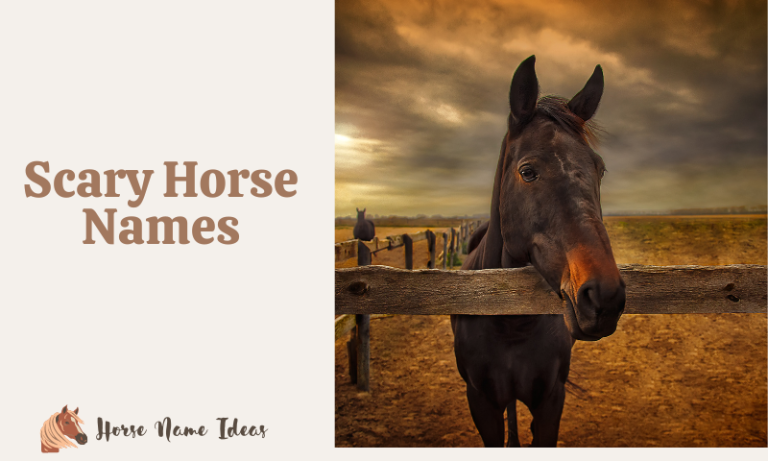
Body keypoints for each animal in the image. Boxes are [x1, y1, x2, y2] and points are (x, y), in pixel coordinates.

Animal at [452, 55, 626, 447]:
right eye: (528, 171)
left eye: (600, 169)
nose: (604, 296)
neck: (511, 323)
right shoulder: (481, 402)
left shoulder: (550, 400)